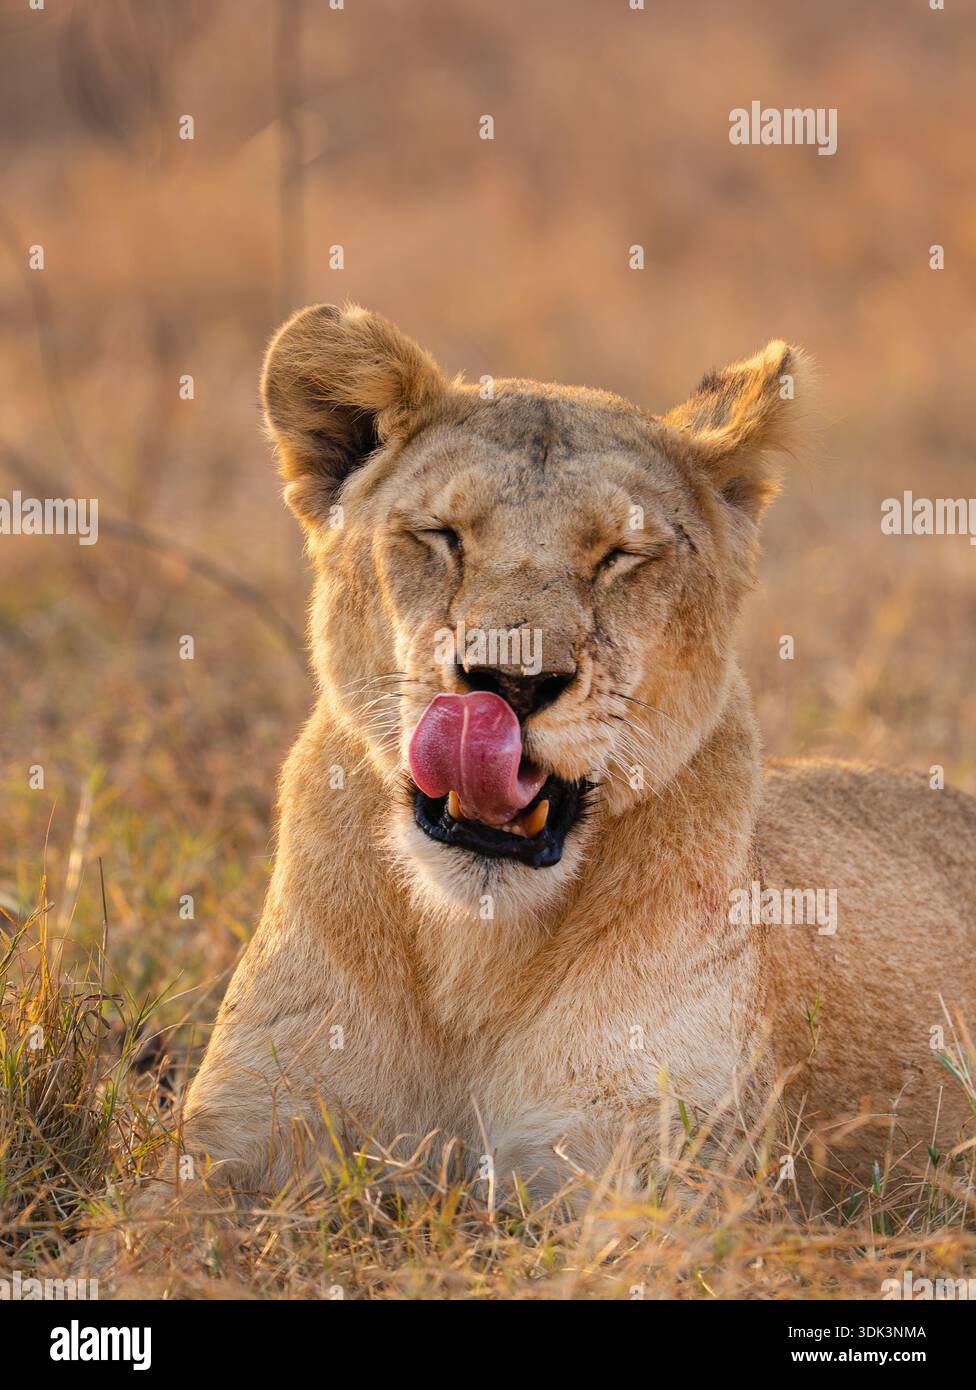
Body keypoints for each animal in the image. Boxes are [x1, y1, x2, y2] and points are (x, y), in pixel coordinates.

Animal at [181, 304, 975, 1209]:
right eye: (442, 537)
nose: (511, 683)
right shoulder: (235, 1136)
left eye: (619, 556)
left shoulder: (670, 1181)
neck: (474, 951)